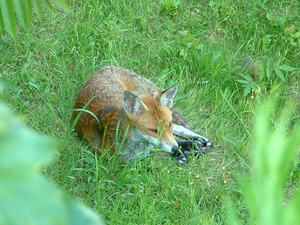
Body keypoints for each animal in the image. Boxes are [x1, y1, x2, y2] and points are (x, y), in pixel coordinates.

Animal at [72, 66, 213, 164]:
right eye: (153, 130)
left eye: (169, 125)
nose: (173, 149)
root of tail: (107, 67)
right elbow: (167, 145)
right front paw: (185, 151)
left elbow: (174, 139)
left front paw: (187, 149)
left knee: (179, 129)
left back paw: (198, 141)